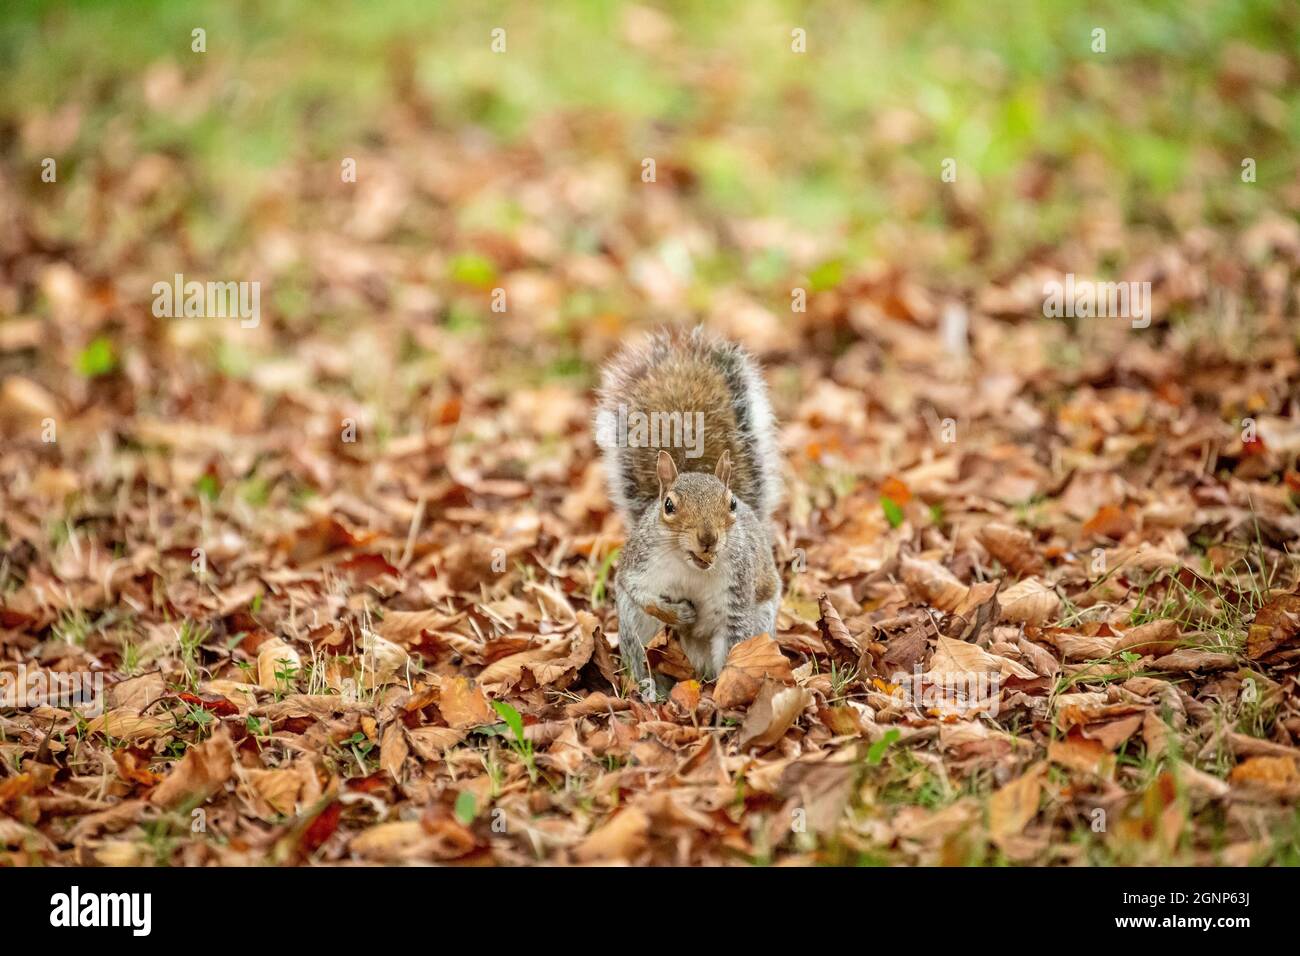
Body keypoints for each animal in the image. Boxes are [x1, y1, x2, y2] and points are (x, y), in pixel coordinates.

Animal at [595, 327, 782, 696]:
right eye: (669, 506)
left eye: (732, 503)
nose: (708, 538)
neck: (691, 567)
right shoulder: (640, 565)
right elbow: (640, 592)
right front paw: (679, 615)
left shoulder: (737, 596)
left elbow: (733, 643)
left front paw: (725, 692)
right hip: (636, 629)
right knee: (642, 655)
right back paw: (652, 689)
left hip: (761, 618)